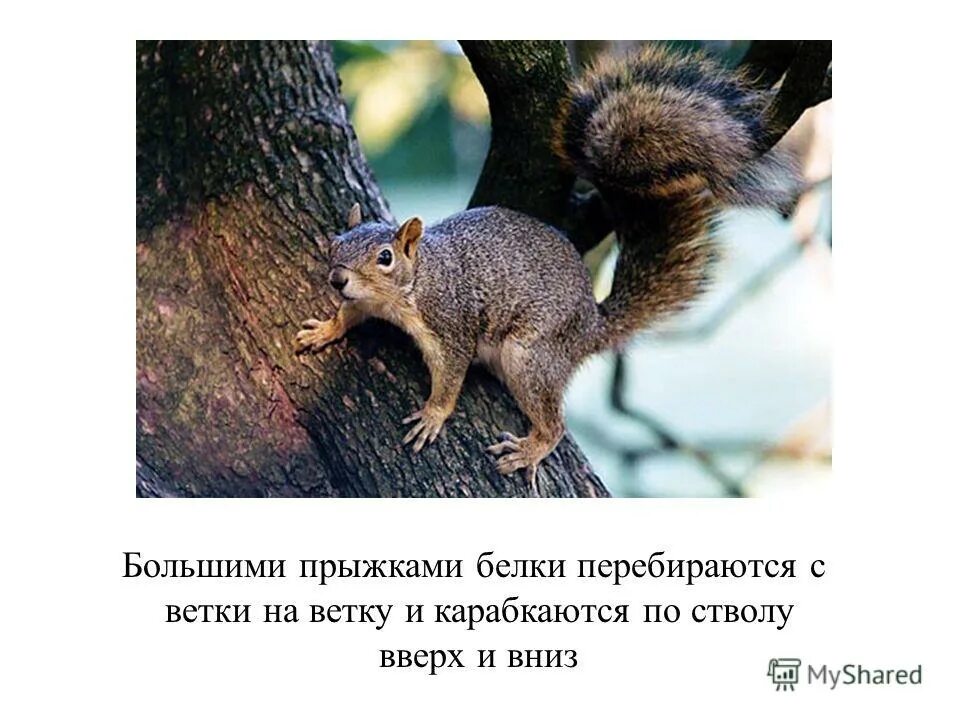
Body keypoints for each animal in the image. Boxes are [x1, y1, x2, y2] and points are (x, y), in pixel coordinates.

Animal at [295, 44, 797, 491]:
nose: (337, 278)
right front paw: (325, 328)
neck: (415, 283)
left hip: (530, 355)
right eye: (334, 244)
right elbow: (350, 312)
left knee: (553, 420)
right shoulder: (367, 302)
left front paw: (433, 415)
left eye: (385, 257)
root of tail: (591, 324)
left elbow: (451, 376)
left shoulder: (451, 325)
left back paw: (530, 448)